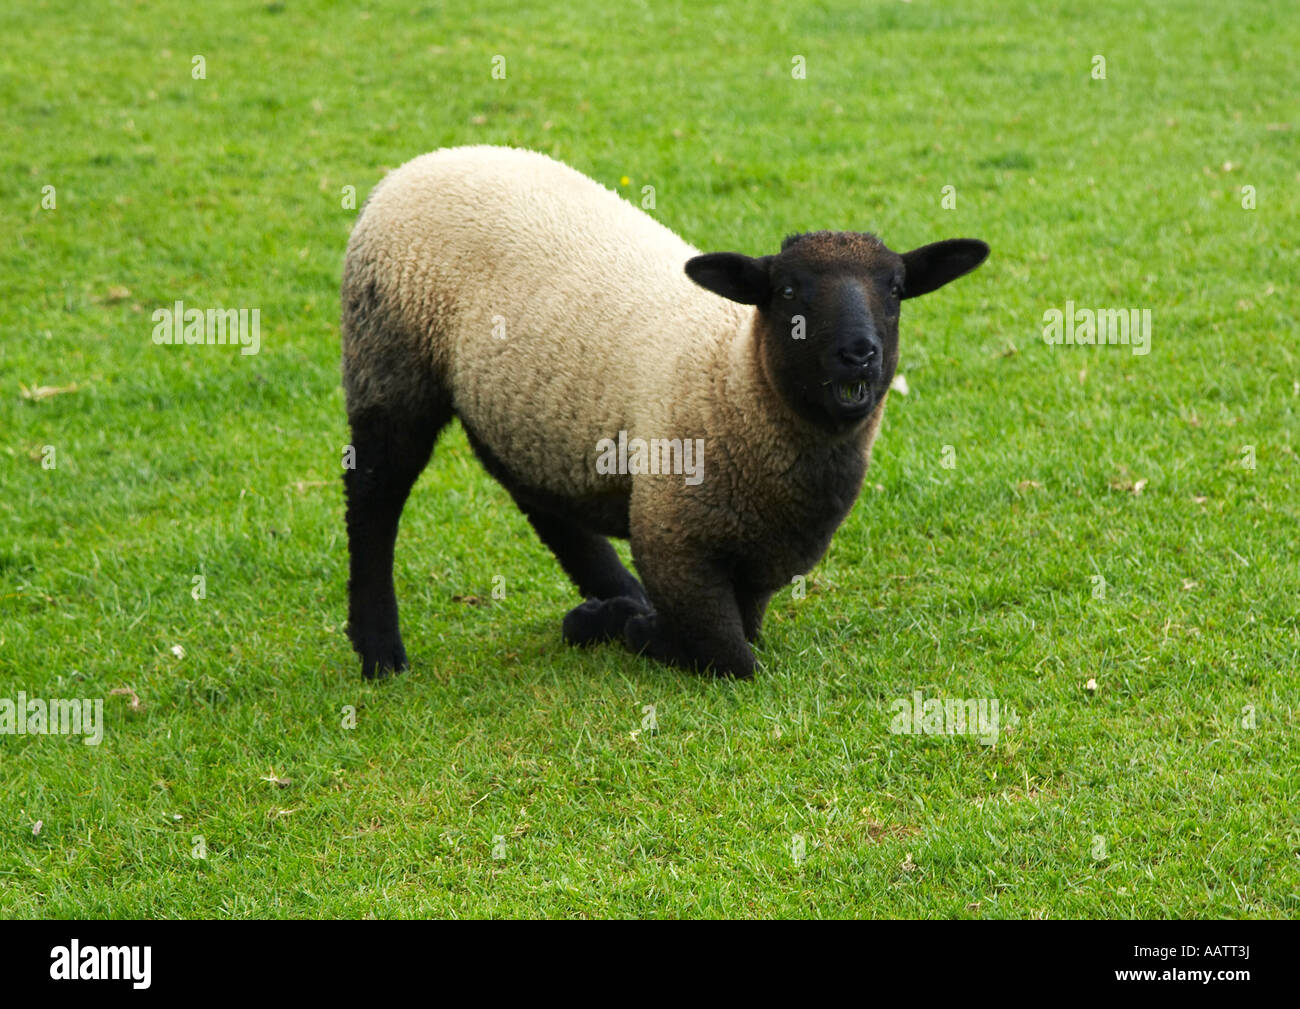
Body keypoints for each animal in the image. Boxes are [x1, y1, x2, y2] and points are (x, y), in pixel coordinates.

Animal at [341, 145, 988, 679]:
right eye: (786, 293)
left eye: (896, 290)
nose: (858, 353)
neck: (732, 378)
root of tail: (421, 163)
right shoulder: (674, 538)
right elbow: (731, 658)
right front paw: (631, 629)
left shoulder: (757, 558)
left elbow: (742, 632)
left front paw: (612, 619)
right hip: (387, 362)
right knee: (372, 498)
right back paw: (380, 652)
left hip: (514, 406)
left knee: (537, 497)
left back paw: (613, 596)